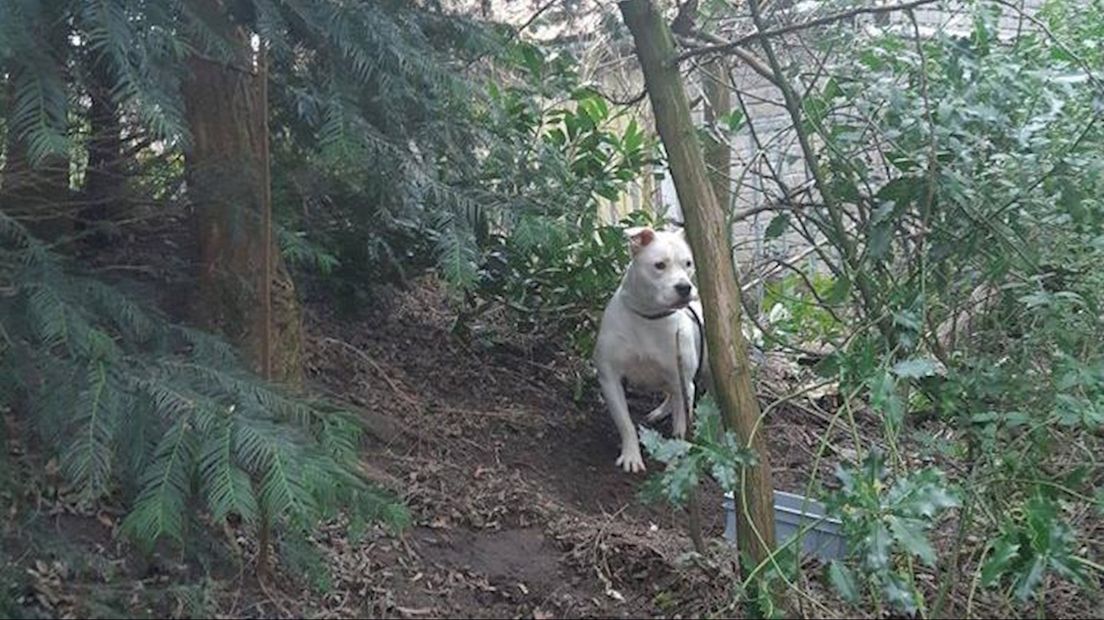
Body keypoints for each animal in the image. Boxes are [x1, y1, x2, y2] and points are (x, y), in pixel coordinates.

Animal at [591, 223, 710, 469]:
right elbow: (625, 423)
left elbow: (680, 427)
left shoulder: (683, 381)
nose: (685, 287)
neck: (649, 318)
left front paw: (676, 455)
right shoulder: (610, 379)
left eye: (688, 263)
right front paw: (631, 456)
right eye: (659, 265)